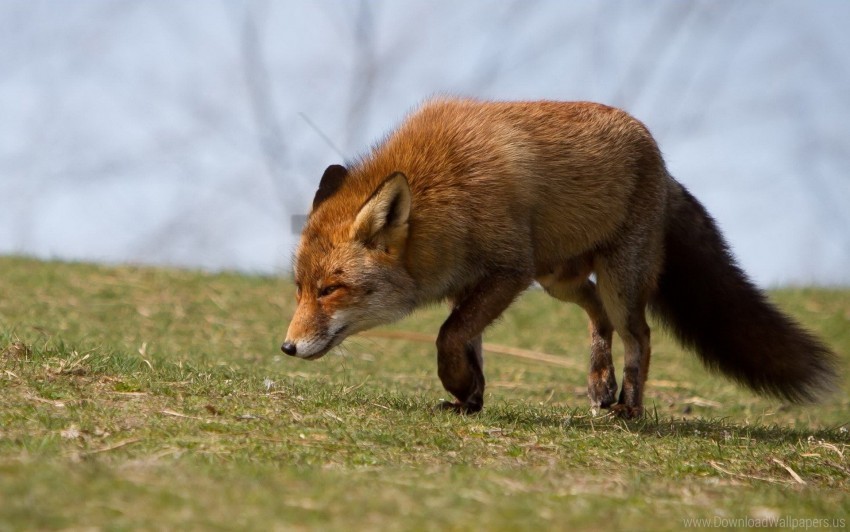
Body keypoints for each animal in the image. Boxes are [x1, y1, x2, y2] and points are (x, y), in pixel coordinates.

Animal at [282, 98, 838, 418]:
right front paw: (469, 399)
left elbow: (449, 336)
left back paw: (629, 407)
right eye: (300, 288)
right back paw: (599, 383)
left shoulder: (509, 271)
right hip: (559, 279)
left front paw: (460, 386)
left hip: (617, 280)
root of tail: (662, 161)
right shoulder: (474, 284)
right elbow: (468, 342)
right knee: (597, 315)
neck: (448, 190)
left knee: (639, 334)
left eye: (330, 290)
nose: (287, 347)